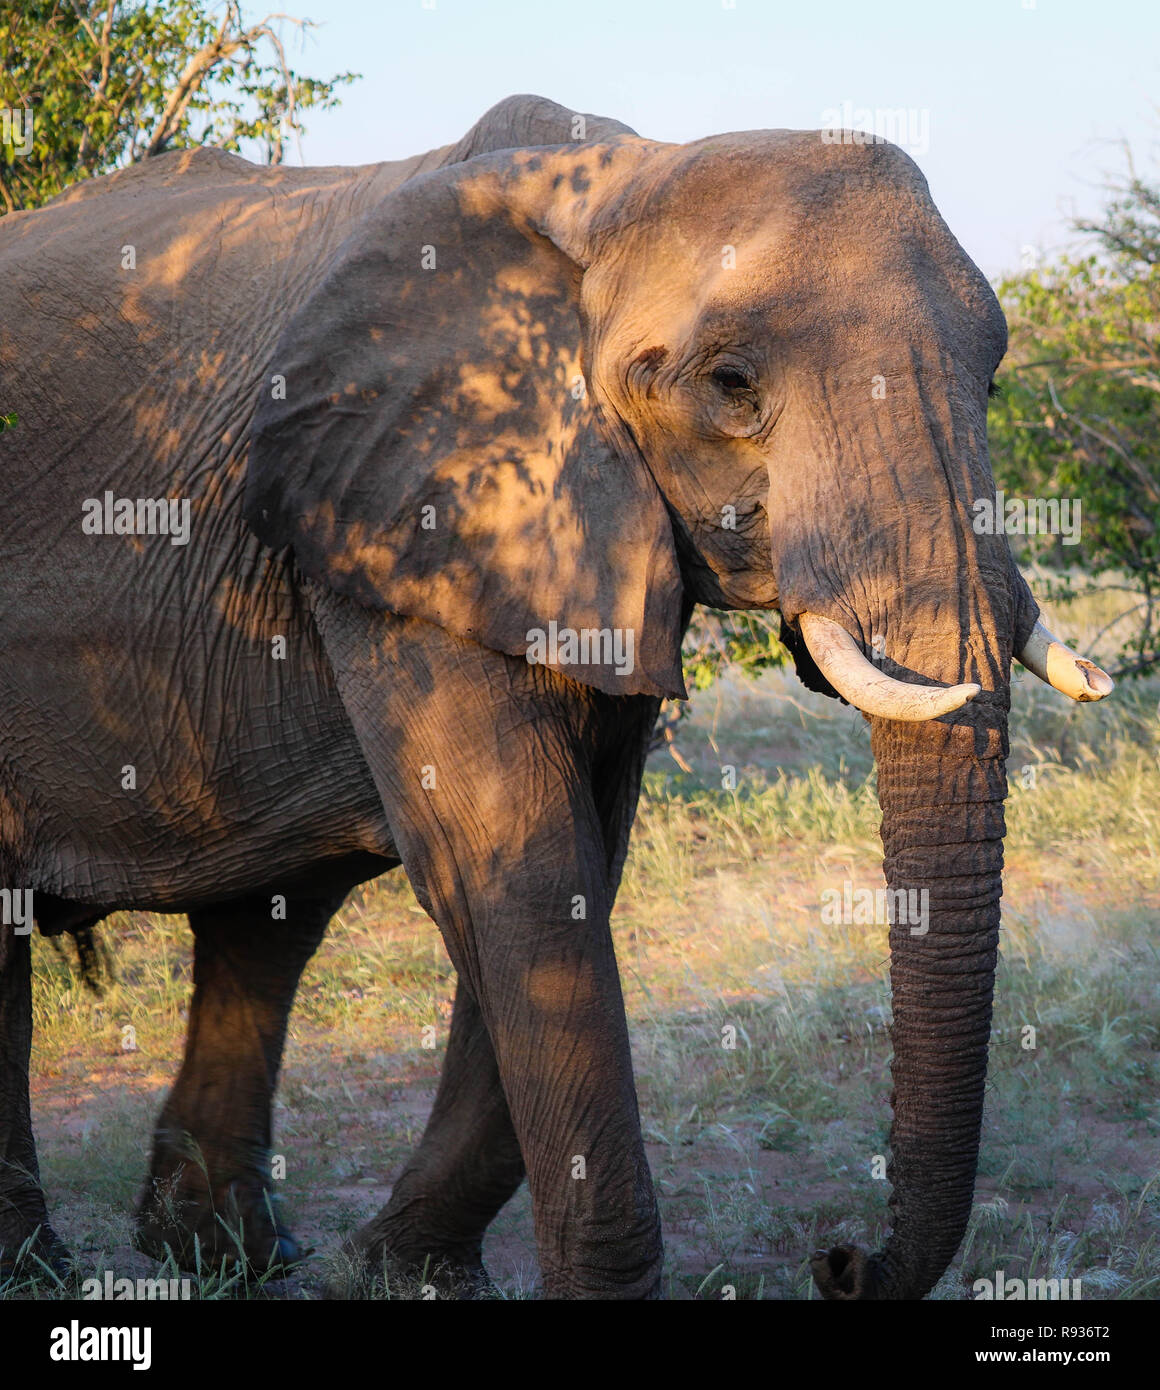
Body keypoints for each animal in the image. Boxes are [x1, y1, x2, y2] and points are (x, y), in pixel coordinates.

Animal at [0, 92, 1112, 1300]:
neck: (619, 175)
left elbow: (579, 863)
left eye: (993, 377)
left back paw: (225, 1258)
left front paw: (399, 1275)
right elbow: (517, 863)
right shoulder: (404, 522)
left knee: (264, 925)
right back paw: (44, 1271)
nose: (839, 1259)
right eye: (730, 384)